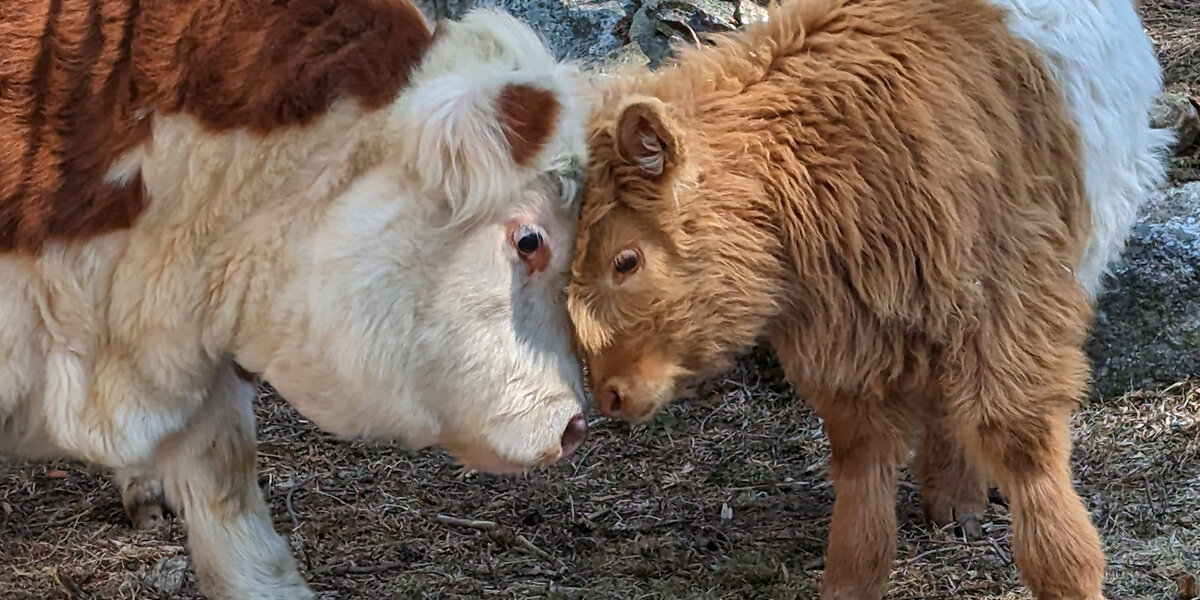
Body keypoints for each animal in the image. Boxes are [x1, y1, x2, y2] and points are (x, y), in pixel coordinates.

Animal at [566, 0, 1171, 598]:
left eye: (627, 260)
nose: (610, 395)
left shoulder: (1009, 307)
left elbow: (1023, 450)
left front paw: (1071, 579)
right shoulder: (849, 347)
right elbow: (863, 487)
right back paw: (952, 498)